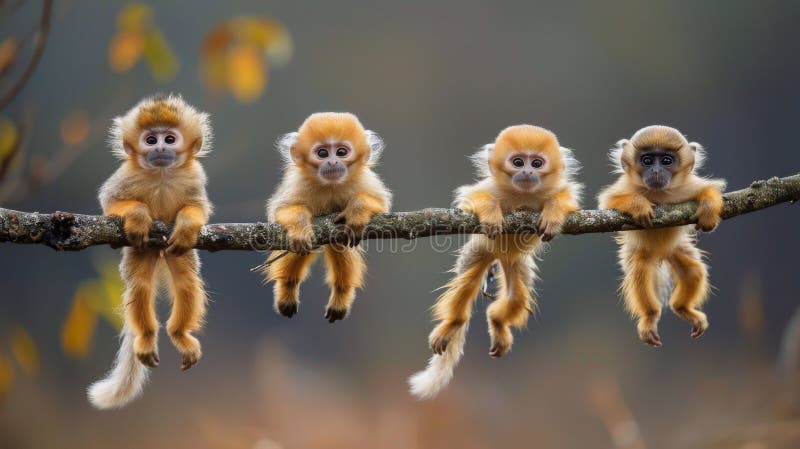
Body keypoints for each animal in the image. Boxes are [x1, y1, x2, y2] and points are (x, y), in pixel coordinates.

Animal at [87, 94, 213, 409]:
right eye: (150, 139)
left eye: (170, 138)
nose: (160, 148)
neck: (161, 173)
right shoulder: (124, 177)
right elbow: (110, 203)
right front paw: (138, 216)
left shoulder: (195, 177)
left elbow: (198, 209)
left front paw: (187, 225)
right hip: (140, 252)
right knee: (140, 285)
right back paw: (146, 338)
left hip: (177, 254)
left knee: (186, 281)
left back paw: (180, 334)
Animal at [261, 112, 391, 322]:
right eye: (322, 153)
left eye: (341, 152)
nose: (332, 162)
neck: (331, 186)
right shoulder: (298, 183)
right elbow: (282, 211)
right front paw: (300, 229)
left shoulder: (365, 180)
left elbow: (380, 206)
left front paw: (357, 211)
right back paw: (287, 291)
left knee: (340, 243)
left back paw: (340, 295)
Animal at [408, 125, 582, 399]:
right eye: (518, 162)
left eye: (537, 163)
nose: (527, 171)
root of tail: (503, 256)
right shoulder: (486, 190)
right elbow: (474, 197)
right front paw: (491, 215)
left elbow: (565, 200)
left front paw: (554, 214)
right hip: (480, 251)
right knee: (467, 284)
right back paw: (453, 323)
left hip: (517, 264)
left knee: (516, 298)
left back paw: (497, 321)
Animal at [597, 125, 725, 347]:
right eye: (647, 160)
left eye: (666, 160)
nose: (656, 171)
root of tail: (661, 252)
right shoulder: (623, 188)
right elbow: (609, 203)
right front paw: (639, 206)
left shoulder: (688, 186)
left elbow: (709, 191)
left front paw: (709, 211)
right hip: (640, 252)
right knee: (640, 269)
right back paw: (650, 316)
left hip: (676, 249)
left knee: (693, 272)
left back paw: (683, 308)